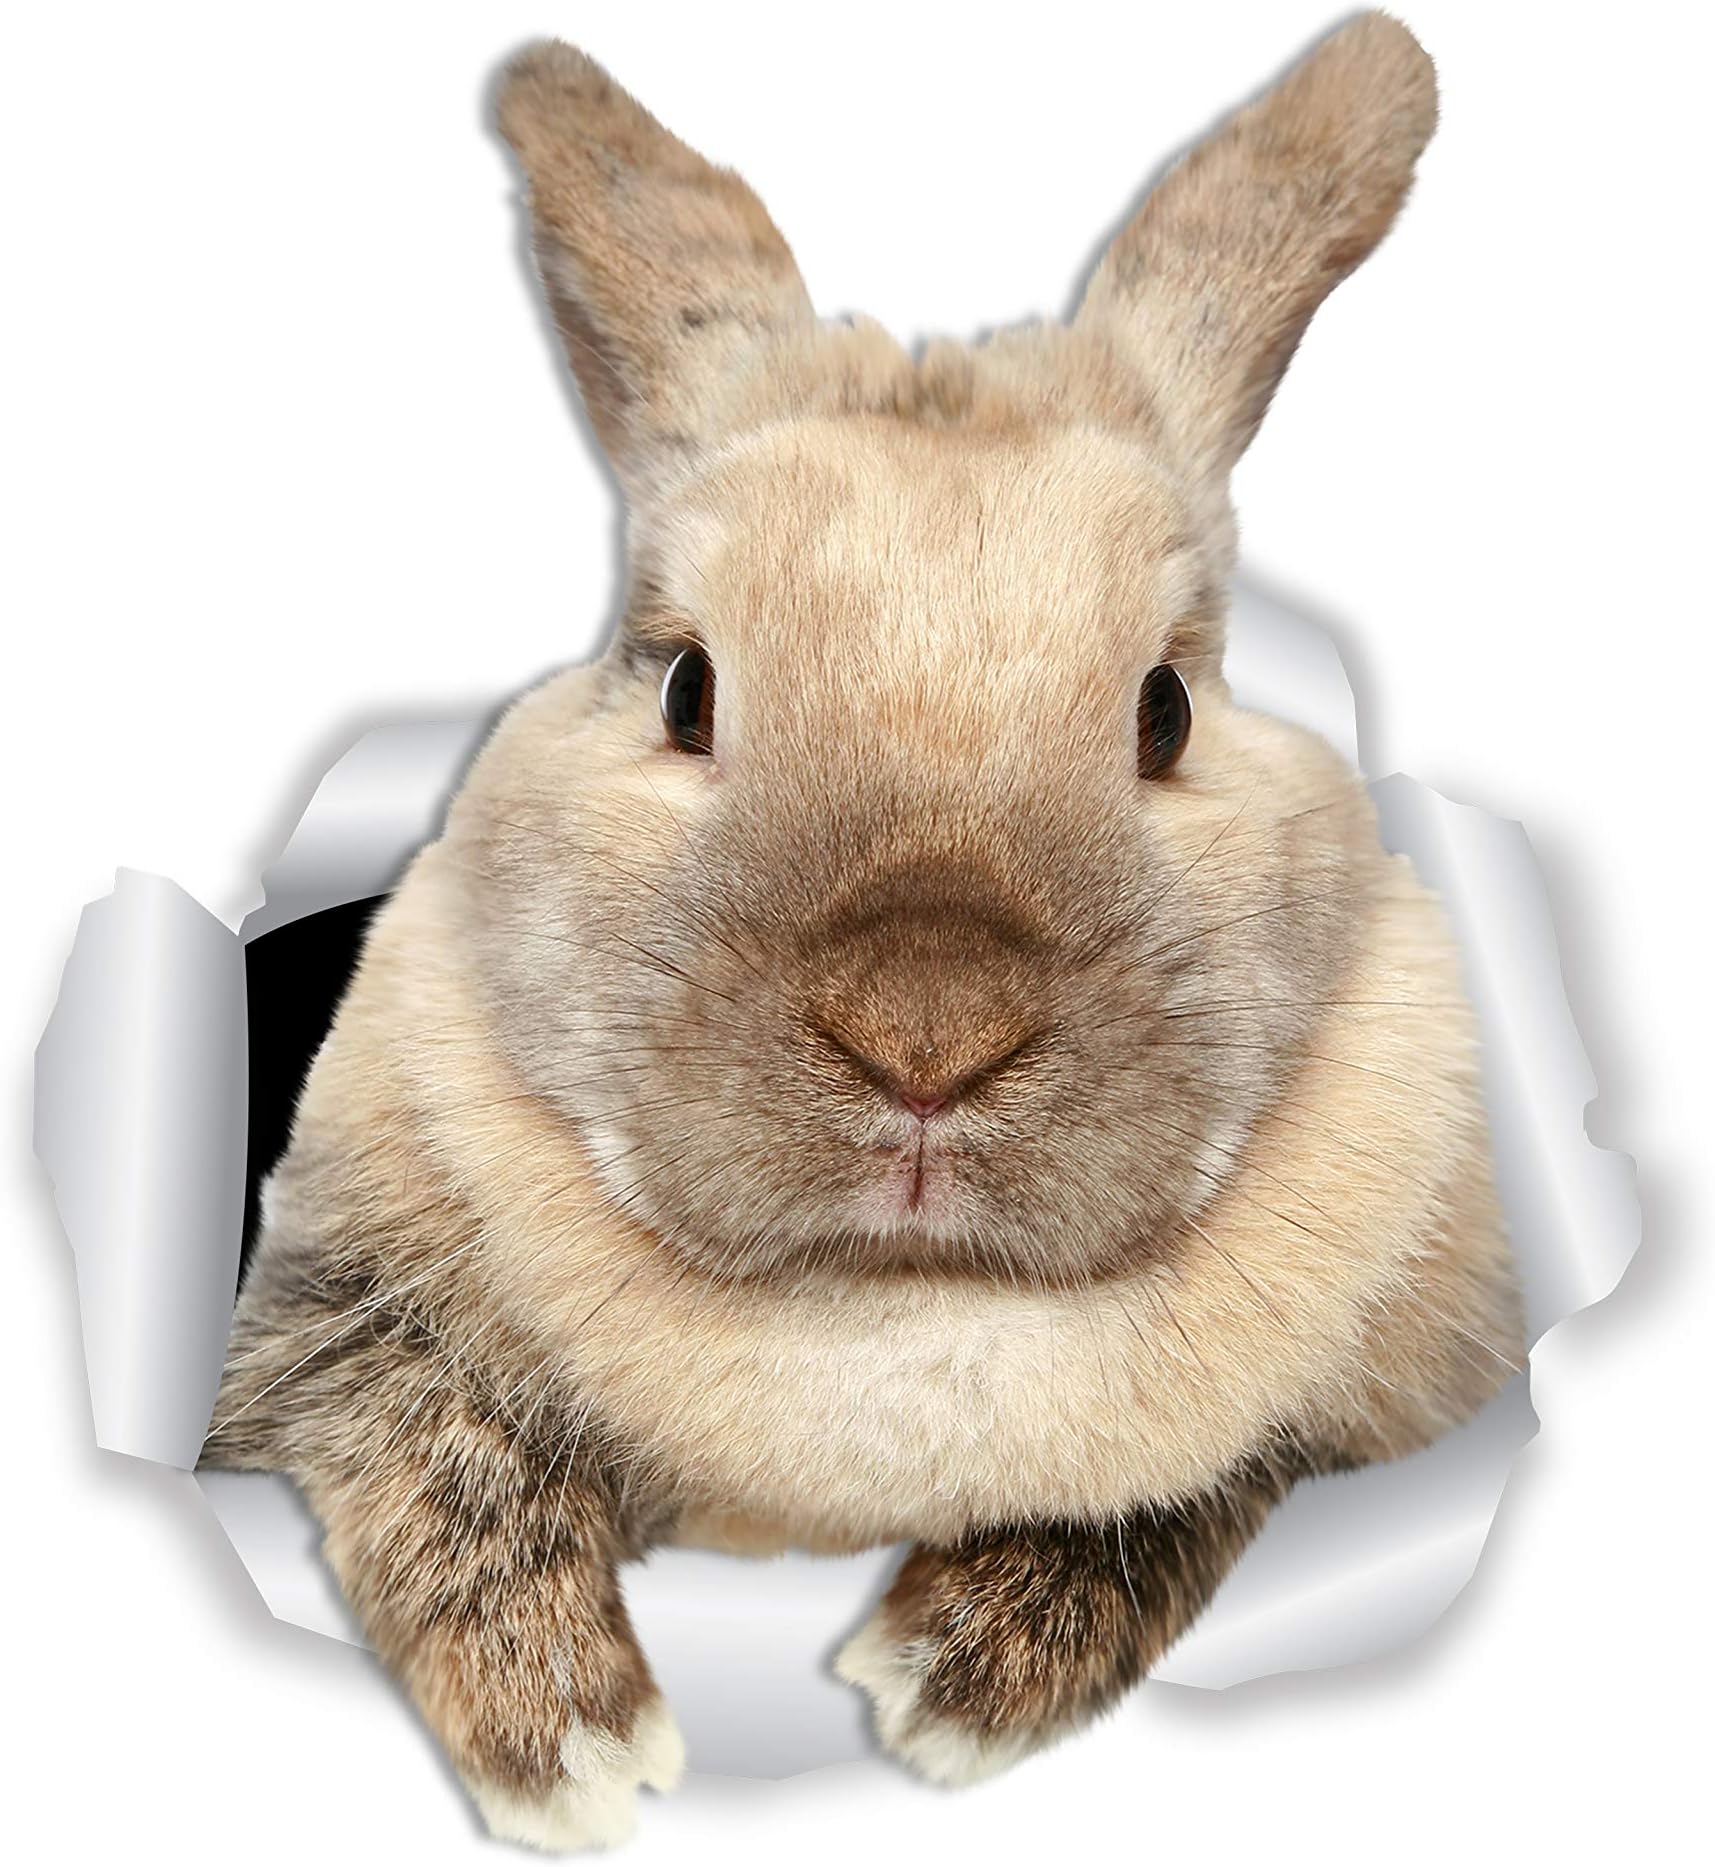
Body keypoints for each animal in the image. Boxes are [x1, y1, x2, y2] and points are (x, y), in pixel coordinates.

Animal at [202, 12, 1524, 1852]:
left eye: (1168, 709)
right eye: (685, 688)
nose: (924, 1037)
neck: (891, 1304)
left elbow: (1207, 1476)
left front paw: (942, 1681)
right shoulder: (315, 1330)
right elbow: (430, 1447)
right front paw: (580, 1754)